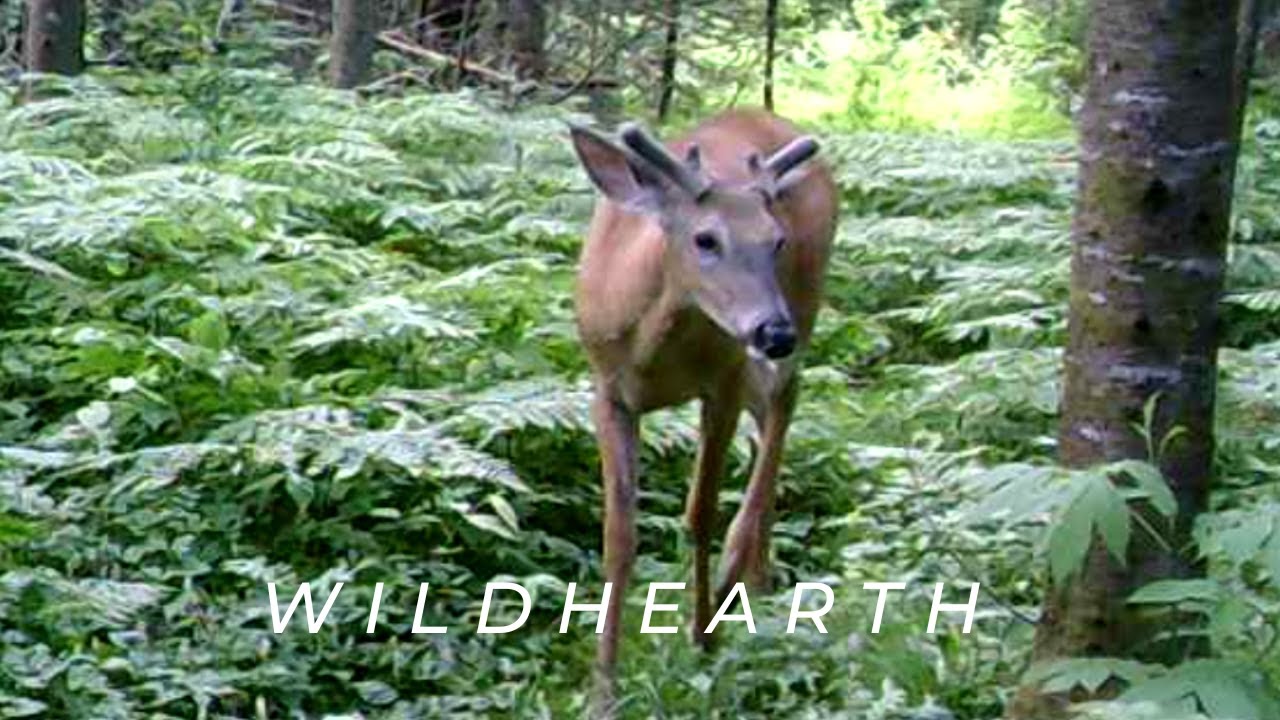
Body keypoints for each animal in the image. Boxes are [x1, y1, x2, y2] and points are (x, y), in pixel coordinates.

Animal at [568, 108, 838, 713]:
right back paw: (758, 577)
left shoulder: (724, 383)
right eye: (705, 238)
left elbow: (699, 516)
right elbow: (619, 535)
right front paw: (603, 687)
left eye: (776, 241)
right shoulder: (606, 390)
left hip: (795, 322)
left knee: (781, 414)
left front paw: (703, 643)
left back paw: (733, 584)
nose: (774, 330)